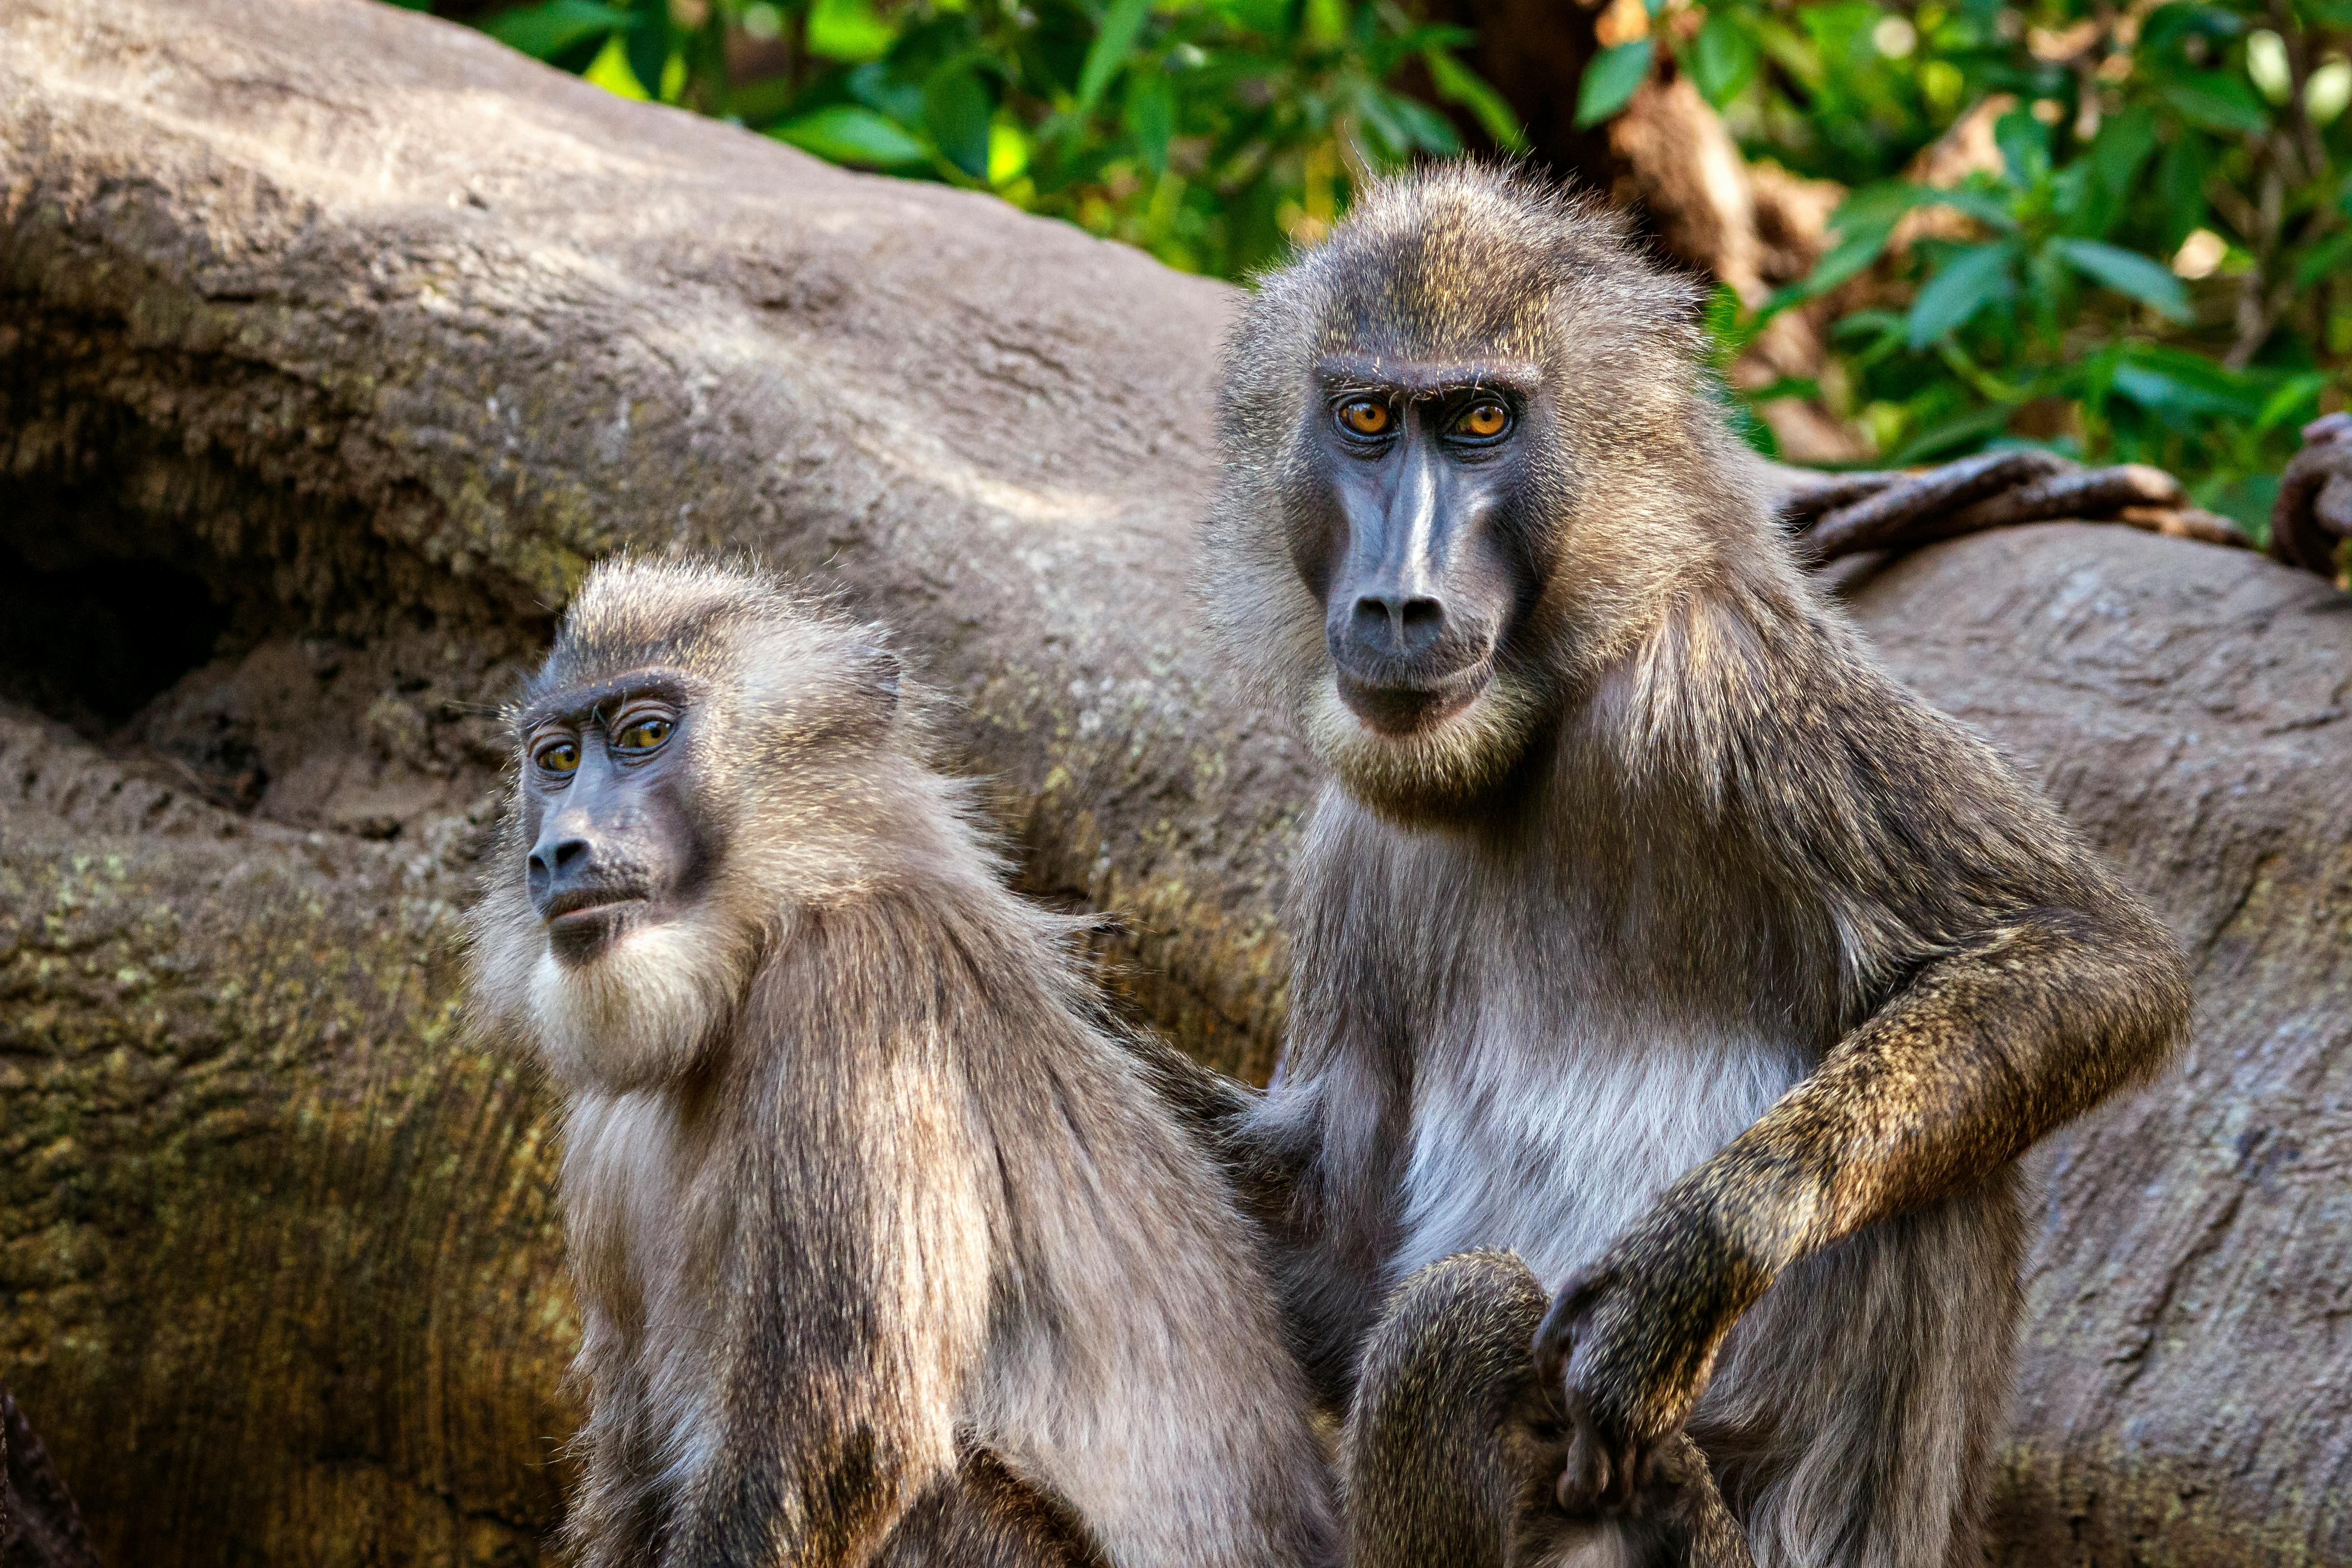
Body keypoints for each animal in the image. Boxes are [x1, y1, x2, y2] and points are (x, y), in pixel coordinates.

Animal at [465, 558, 1338, 1568]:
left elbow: (838, 1435)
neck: (754, 949)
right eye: (557, 758)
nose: (560, 849)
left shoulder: (849, 991)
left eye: (645, 734)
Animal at [1177, 163, 2191, 1567]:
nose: (1398, 604)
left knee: (1471, 1315)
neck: (1542, 725)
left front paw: (1687, 1269)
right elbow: (1339, 1257)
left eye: (1481, 419)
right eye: (1367, 417)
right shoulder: (1353, 851)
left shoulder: (1726, 693)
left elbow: (2091, 953)